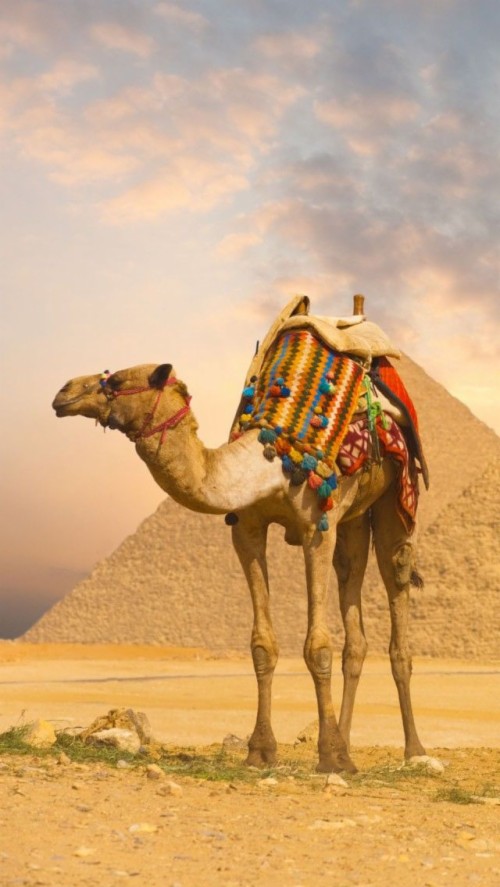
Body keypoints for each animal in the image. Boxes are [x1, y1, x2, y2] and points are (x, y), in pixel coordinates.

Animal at [52, 301, 429, 774]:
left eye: (117, 380)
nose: (63, 392)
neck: (272, 458)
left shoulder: (315, 529)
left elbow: (318, 646)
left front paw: (328, 755)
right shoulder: (248, 530)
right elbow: (262, 645)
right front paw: (262, 750)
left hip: (395, 499)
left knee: (396, 588)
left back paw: (413, 749)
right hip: (353, 520)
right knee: (354, 616)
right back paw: (347, 744)